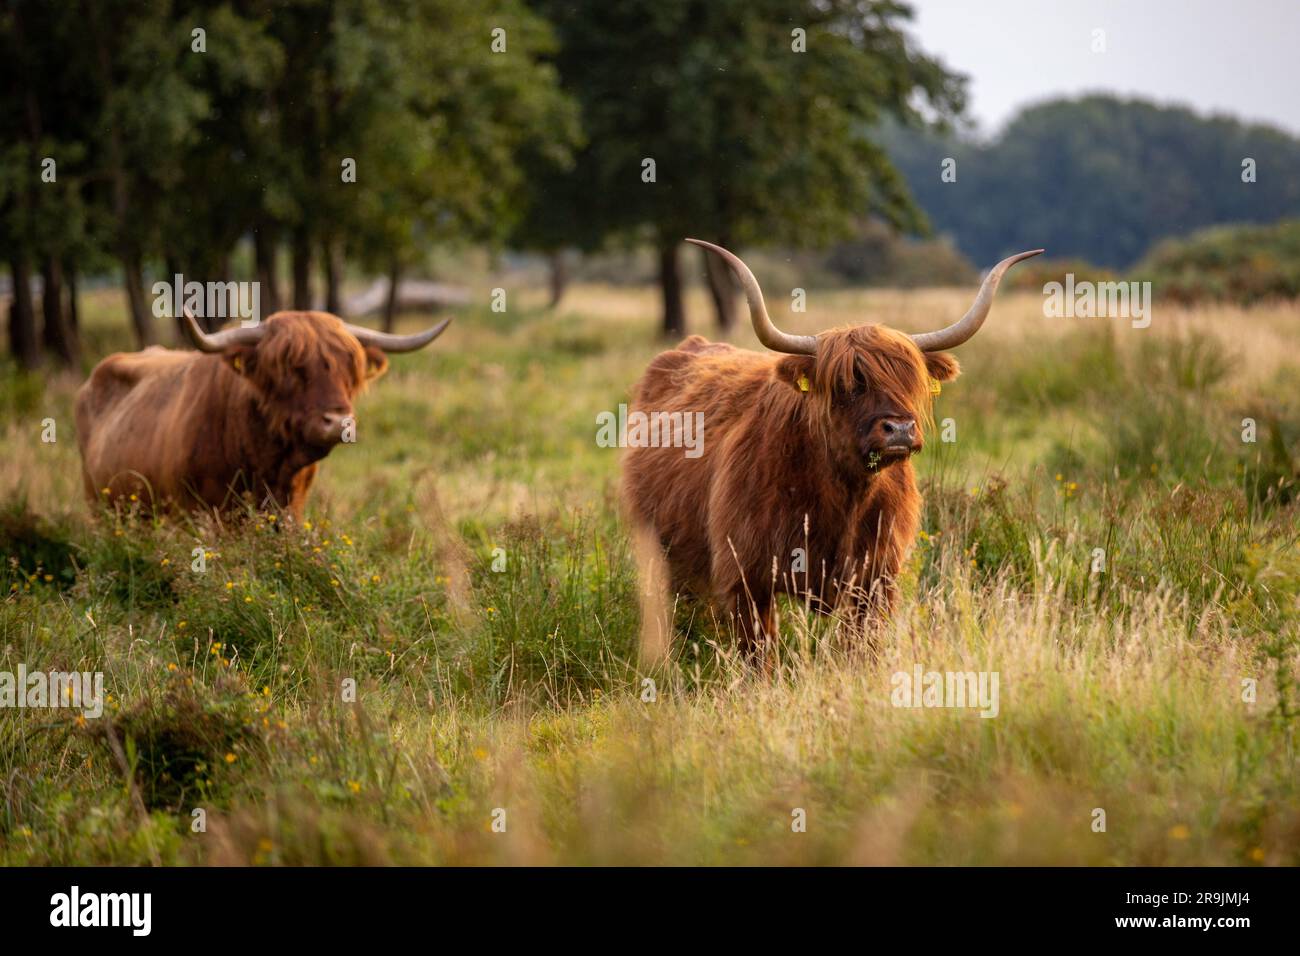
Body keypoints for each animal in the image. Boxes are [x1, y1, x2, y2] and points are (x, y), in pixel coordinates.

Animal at [621, 239, 1041, 663]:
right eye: (846, 385)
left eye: (910, 381)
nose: (899, 430)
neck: (842, 496)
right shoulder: (747, 577)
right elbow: (759, 657)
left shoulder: (876, 578)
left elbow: (862, 646)